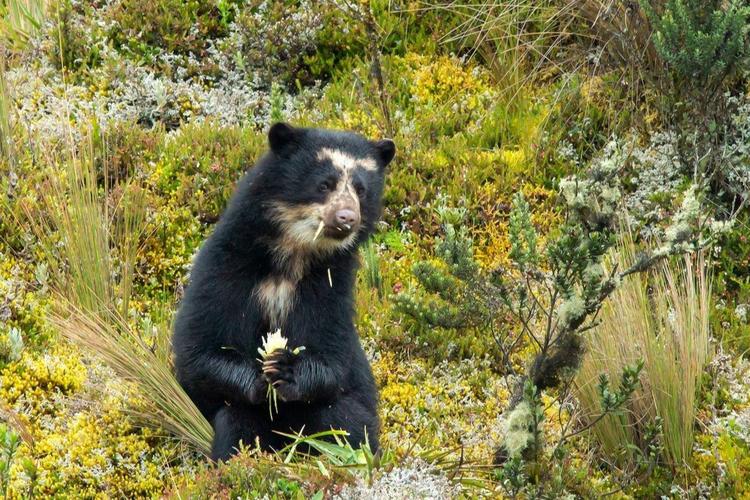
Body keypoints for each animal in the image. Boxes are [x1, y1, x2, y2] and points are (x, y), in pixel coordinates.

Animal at [171, 122, 395, 461]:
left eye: (360, 189)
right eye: (324, 184)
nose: (346, 218)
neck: (293, 255)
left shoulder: (330, 286)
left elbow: (334, 355)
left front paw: (288, 369)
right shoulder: (225, 268)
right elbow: (197, 349)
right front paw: (260, 373)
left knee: (345, 418)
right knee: (235, 421)